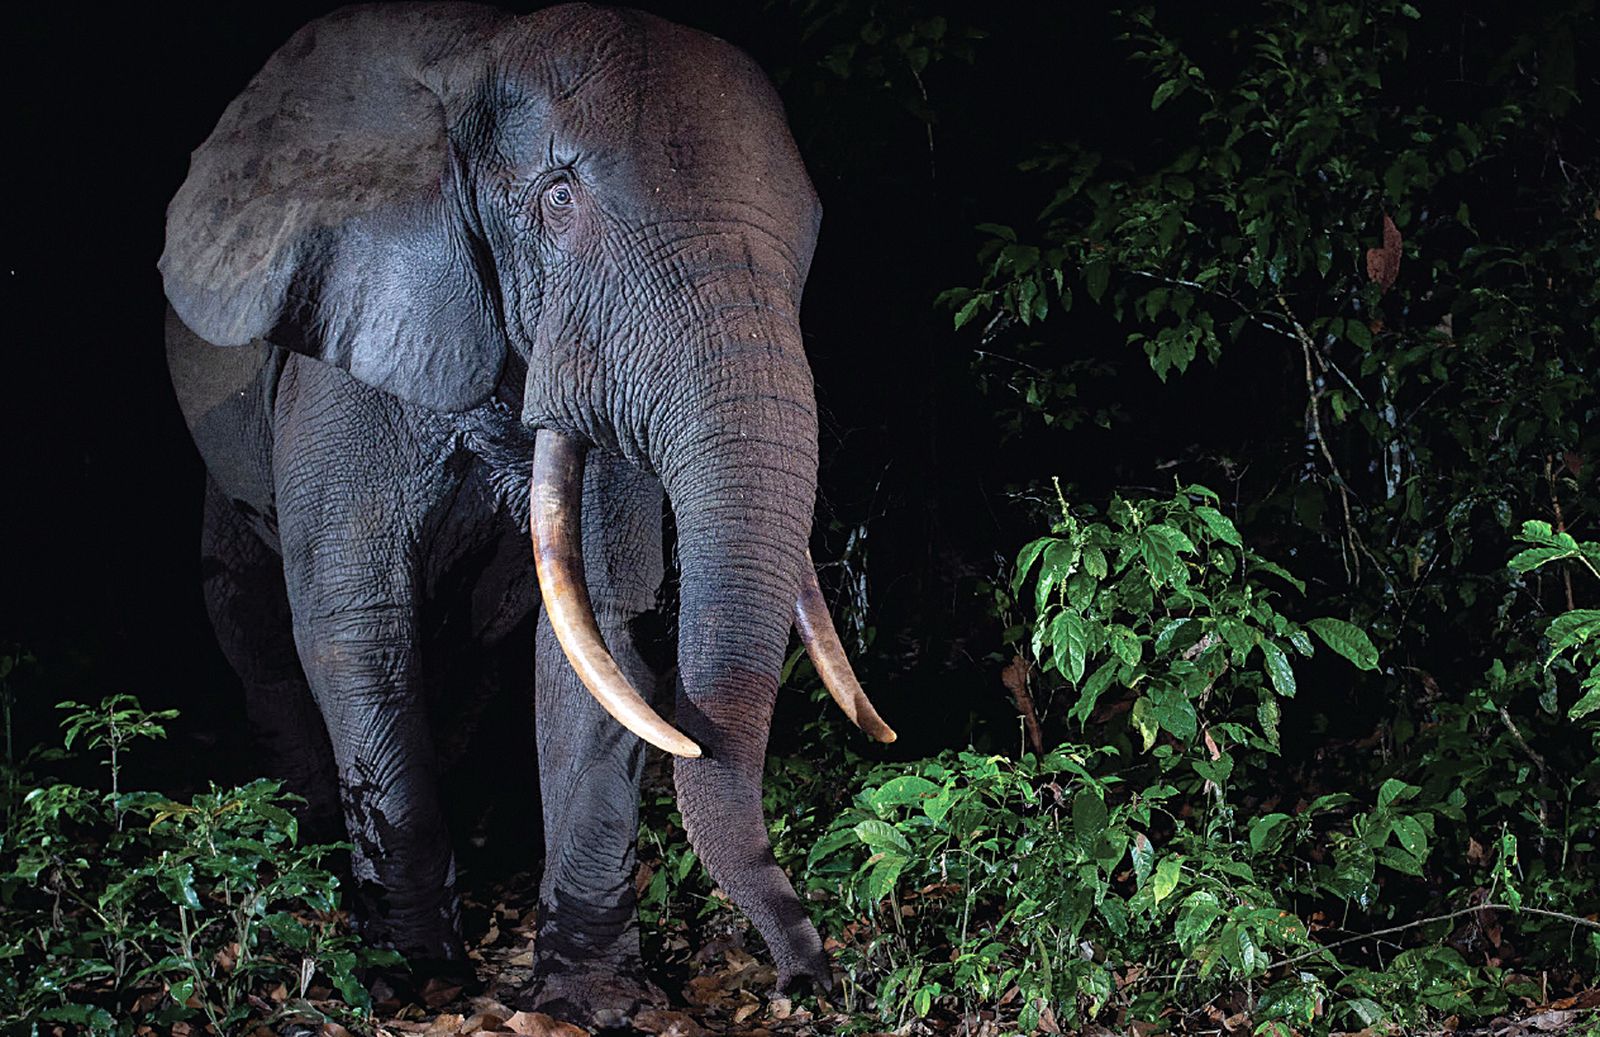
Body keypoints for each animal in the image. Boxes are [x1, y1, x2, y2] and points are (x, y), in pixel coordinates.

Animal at [158, 2, 896, 1024]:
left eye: (810, 233)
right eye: (556, 198)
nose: (809, 981)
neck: (481, 55)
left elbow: (599, 635)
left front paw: (594, 999)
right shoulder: (347, 338)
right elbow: (355, 618)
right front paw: (413, 976)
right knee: (249, 611)